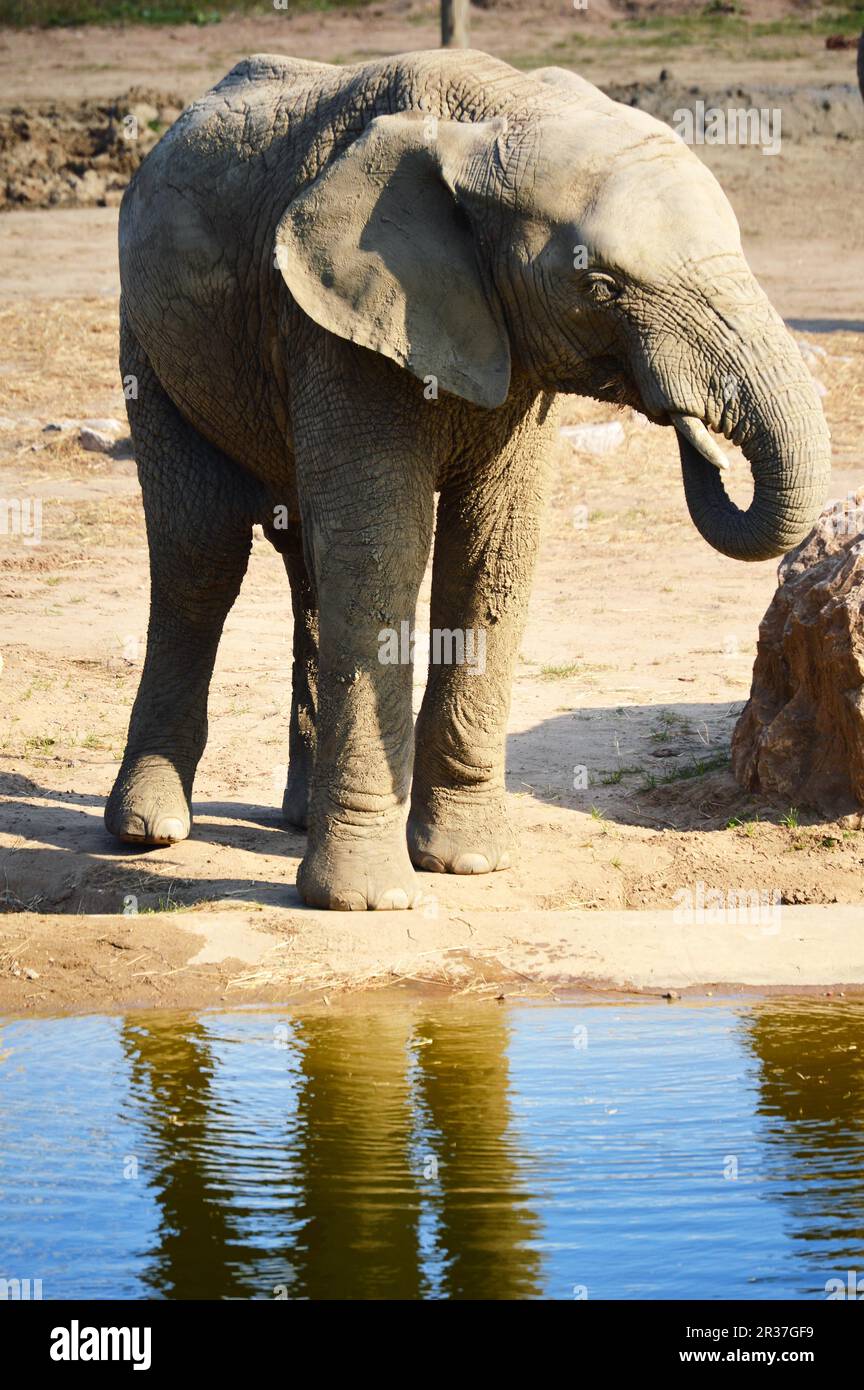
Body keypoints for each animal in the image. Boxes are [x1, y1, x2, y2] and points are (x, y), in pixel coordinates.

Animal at [107, 49, 831, 910]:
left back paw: (295, 820)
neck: (495, 112)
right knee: (202, 555)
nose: (701, 439)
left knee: (307, 561)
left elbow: (493, 547)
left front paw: (469, 864)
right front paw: (367, 903)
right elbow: (386, 548)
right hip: (150, 347)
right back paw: (149, 830)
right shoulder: (341, 323)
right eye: (598, 288)